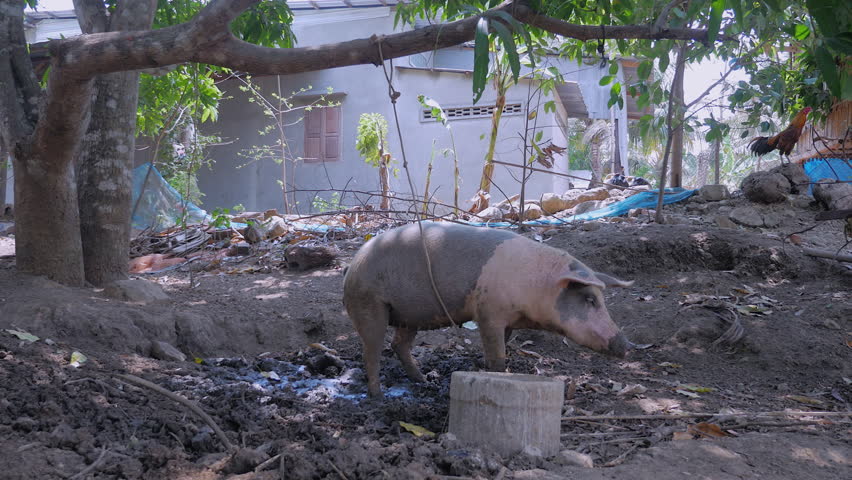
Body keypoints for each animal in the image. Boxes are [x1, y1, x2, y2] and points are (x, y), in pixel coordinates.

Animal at [343, 222, 632, 398]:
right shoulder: (488, 312)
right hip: (369, 304)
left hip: (410, 315)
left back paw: (424, 381)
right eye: (590, 300)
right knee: (371, 351)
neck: (537, 286)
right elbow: (497, 355)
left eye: (601, 300)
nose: (627, 345)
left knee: (399, 345)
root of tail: (351, 266)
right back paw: (378, 395)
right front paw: (495, 372)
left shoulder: (509, 321)